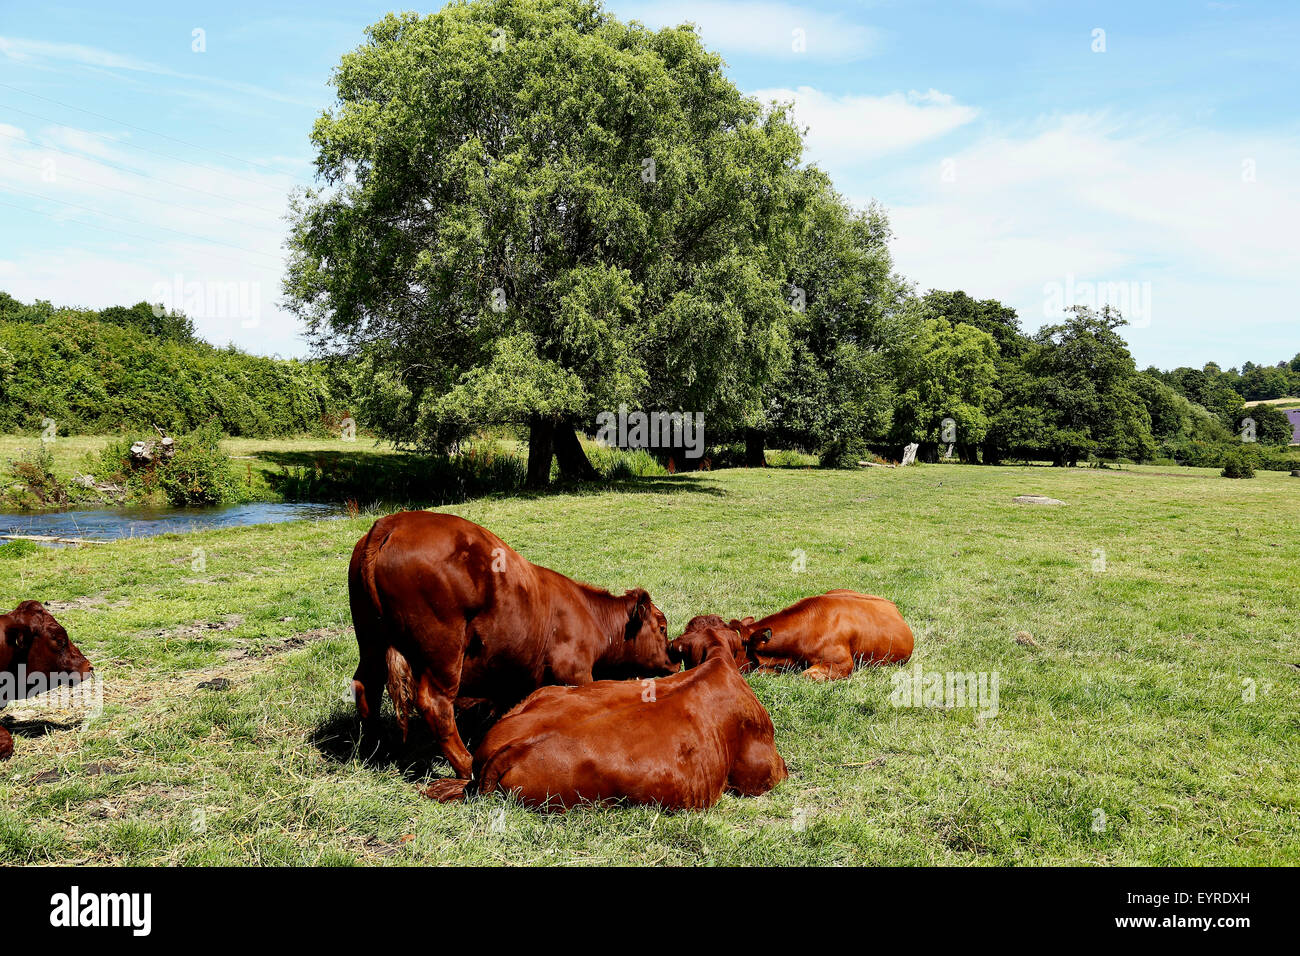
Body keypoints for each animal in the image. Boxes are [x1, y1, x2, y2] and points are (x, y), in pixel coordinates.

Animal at [348, 511, 676, 781]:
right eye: (662, 627)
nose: (674, 661)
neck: (590, 615)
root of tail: (394, 522)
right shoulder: (575, 673)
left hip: (371, 640)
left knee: (365, 685)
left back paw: (378, 748)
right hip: (443, 652)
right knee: (436, 704)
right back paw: (466, 766)